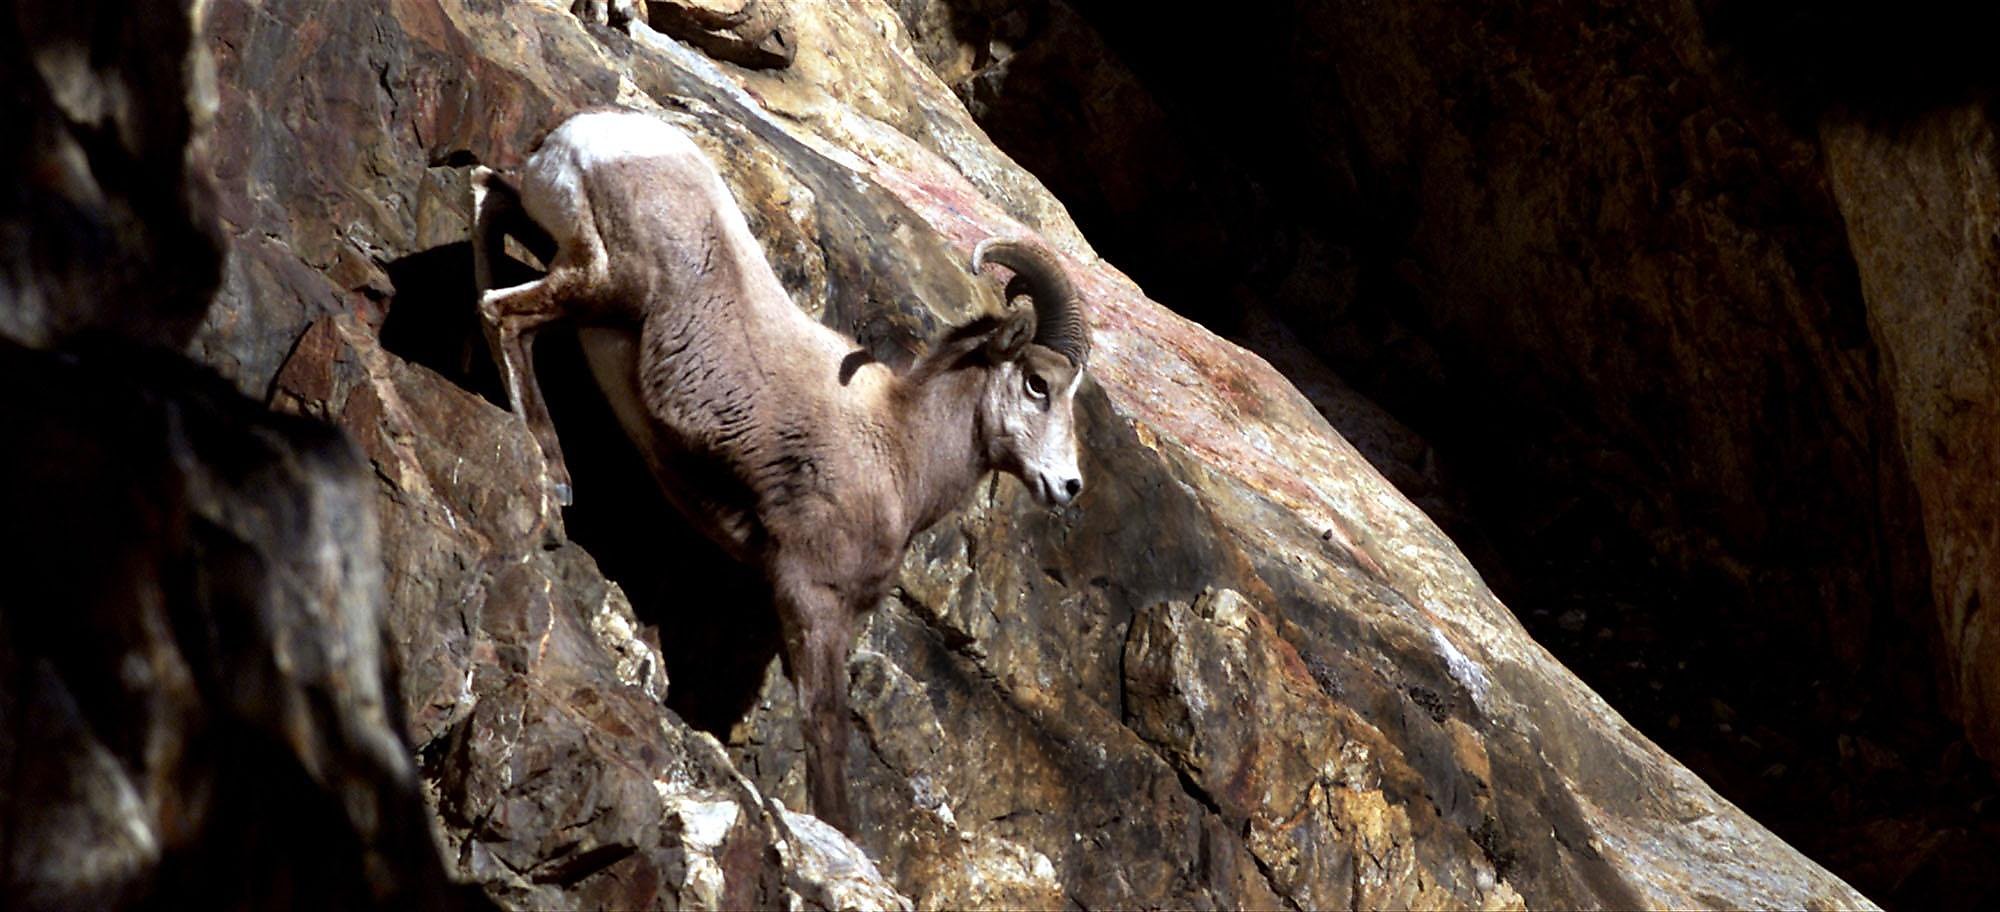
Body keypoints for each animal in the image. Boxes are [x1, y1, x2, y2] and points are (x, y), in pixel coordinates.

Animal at [468, 108, 1091, 833]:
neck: (898, 447)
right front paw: (838, 828)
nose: (1068, 486)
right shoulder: (810, 597)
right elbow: (825, 727)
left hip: (556, 243)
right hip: (605, 287)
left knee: (487, 197)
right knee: (503, 311)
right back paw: (553, 467)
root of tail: (587, 136)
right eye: (1038, 384)